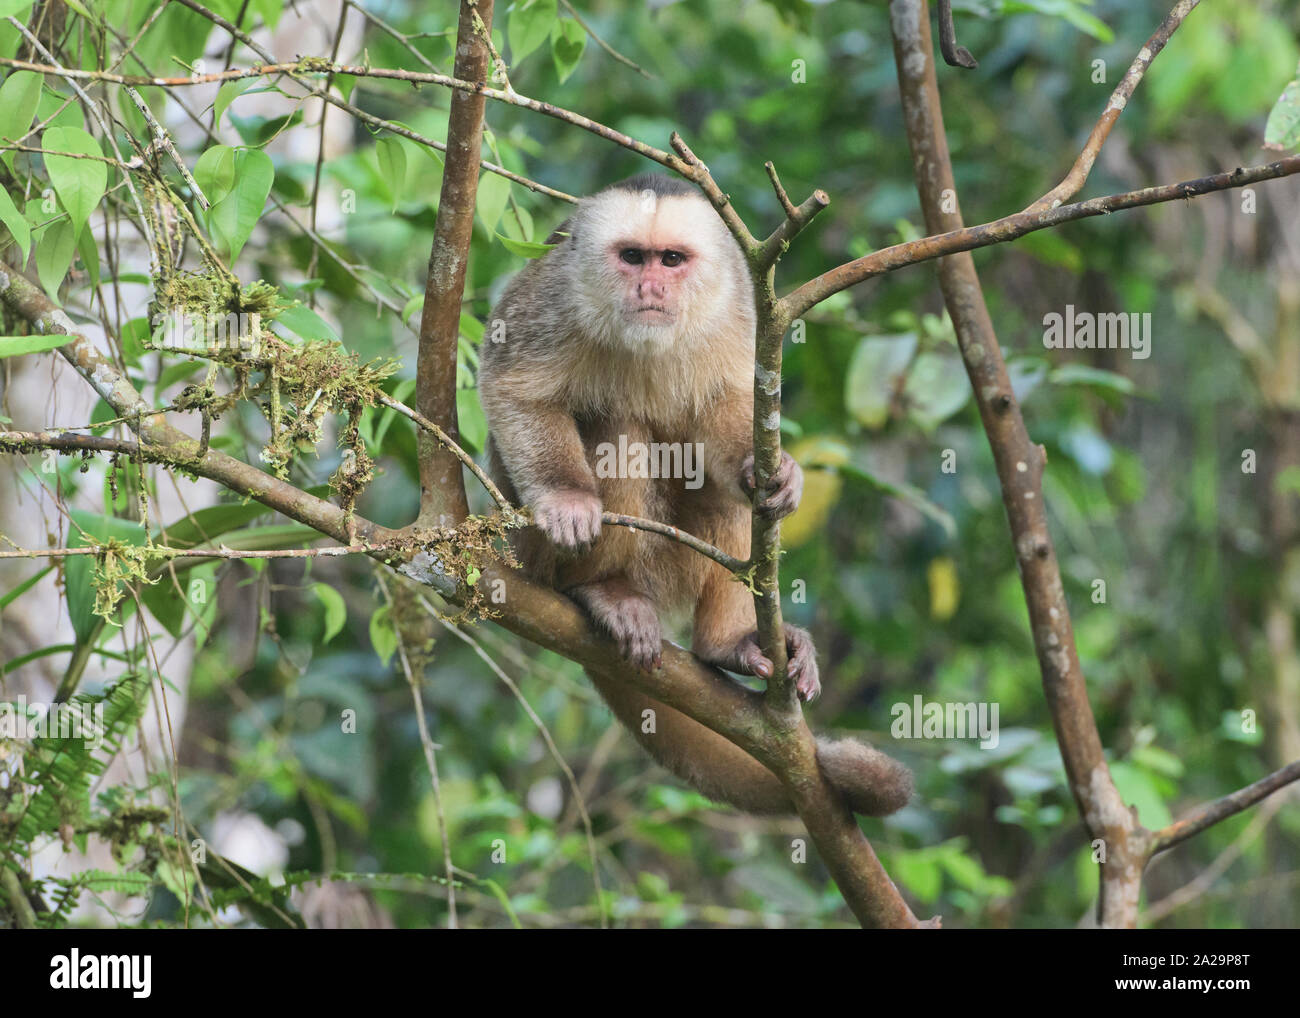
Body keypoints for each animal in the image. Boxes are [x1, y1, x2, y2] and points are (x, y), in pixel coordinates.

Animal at [479, 173, 912, 817]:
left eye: (672, 261)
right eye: (633, 257)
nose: (651, 287)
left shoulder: (739, 308)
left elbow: (728, 412)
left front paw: (777, 472)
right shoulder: (550, 299)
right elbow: (513, 390)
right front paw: (566, 499)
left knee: (732, 502)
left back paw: (725, 644)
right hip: (533, 554)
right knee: (620, 430)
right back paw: (600, 589)